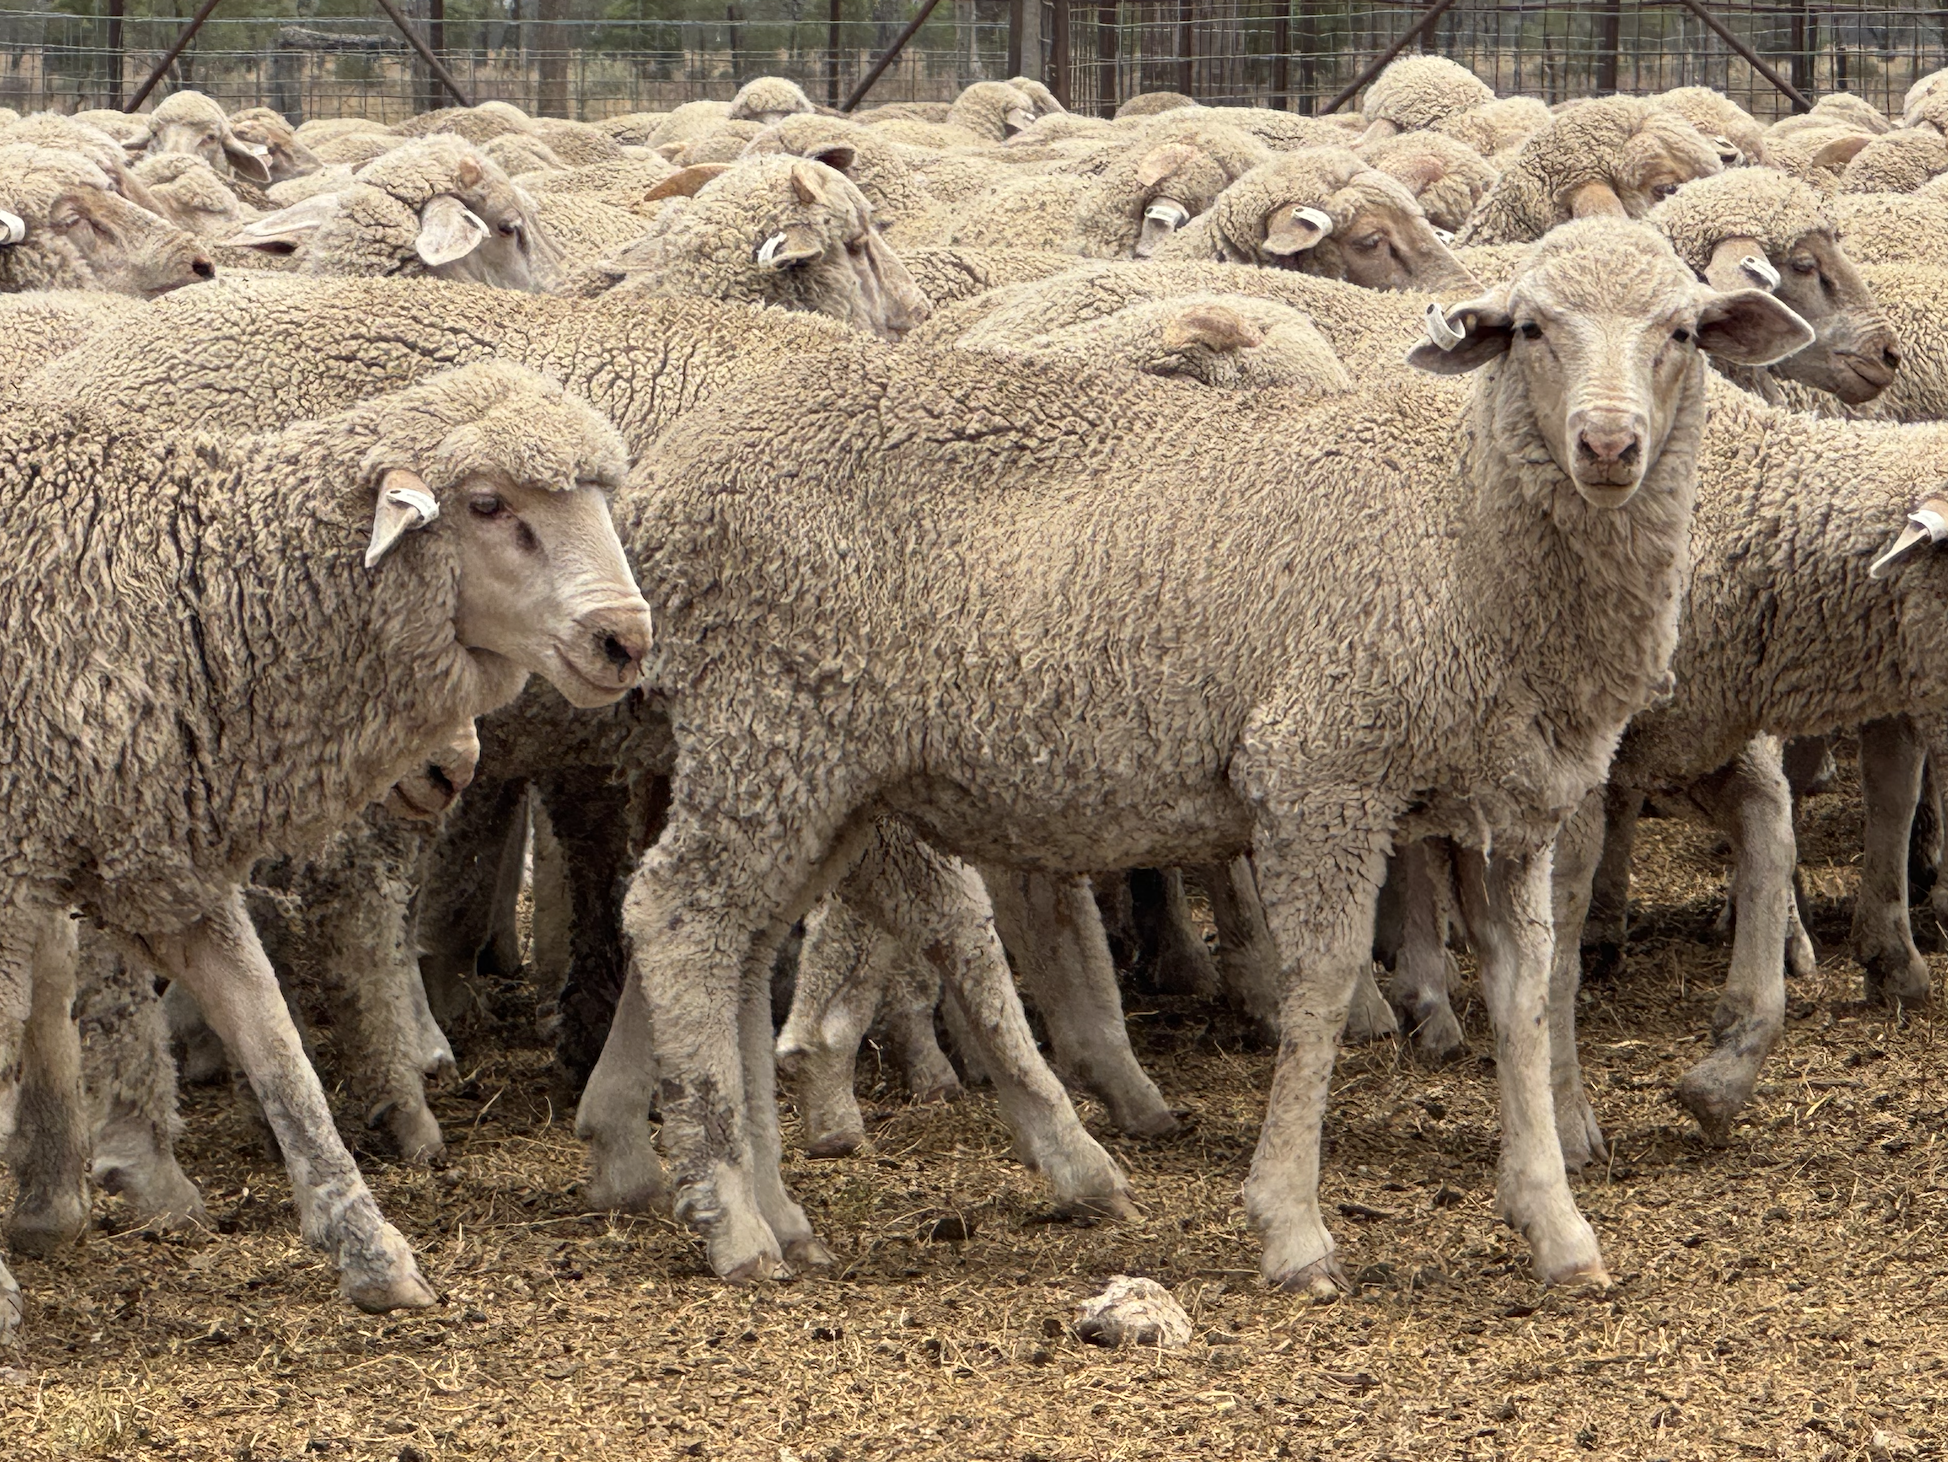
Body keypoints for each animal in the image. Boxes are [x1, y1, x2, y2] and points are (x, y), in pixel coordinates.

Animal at [0, 358, 654, 1336]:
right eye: (487, 503)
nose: (626, 640)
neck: (181, 600)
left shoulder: (162, 862)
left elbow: (274, 1043)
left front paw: (373, 1253)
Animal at [596, 217, 1812, 1289]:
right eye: (1531, 329)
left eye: (1681, 332)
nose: (1608, 446)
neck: (1460, 539)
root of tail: (661, 488)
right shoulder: (1321, 770)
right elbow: (1321, 985)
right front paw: (1292, 1227)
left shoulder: (1515, 810)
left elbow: (1521, 998)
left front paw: (1556, 1225)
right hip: (770, 724)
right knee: (679, 917)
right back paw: (732, 1221)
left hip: (820, 766)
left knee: (743, 946)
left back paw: (783, 1214)